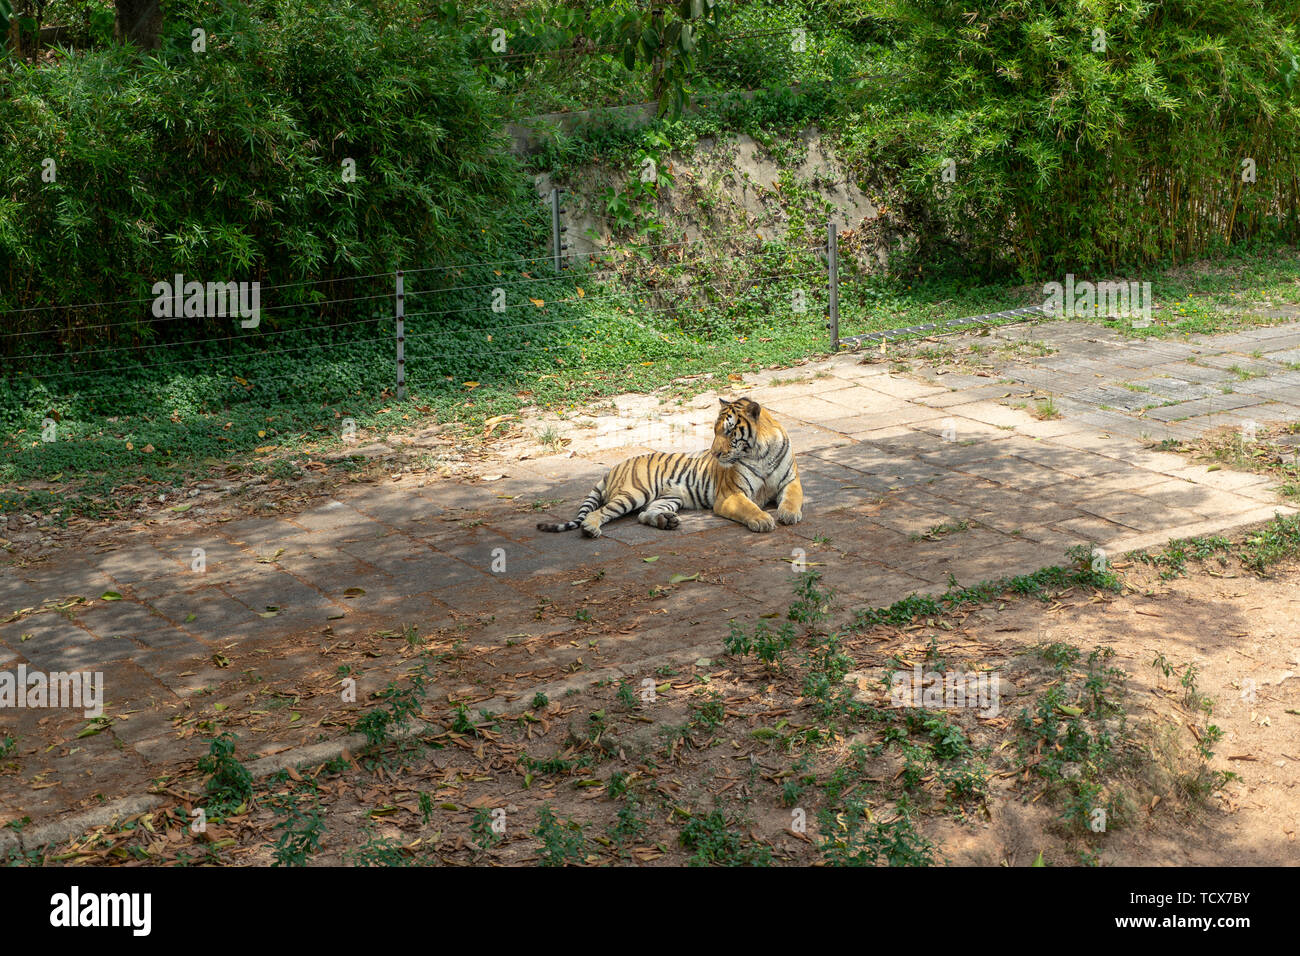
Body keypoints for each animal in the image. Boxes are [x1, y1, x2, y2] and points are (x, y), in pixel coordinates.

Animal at [537, 396, 803, 539]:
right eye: (715, 431)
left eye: (729, 432)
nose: (715, 453)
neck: (760, 453)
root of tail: (613, 467)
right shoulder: (730, 494)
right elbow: (749, 507)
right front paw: (763, 520)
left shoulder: (790, 481)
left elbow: (793, 498)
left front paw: (789, 514)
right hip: (634, 493)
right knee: (598, 513)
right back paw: (591, 529)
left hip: (669, 498)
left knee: (643, 514)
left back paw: (666, 521)